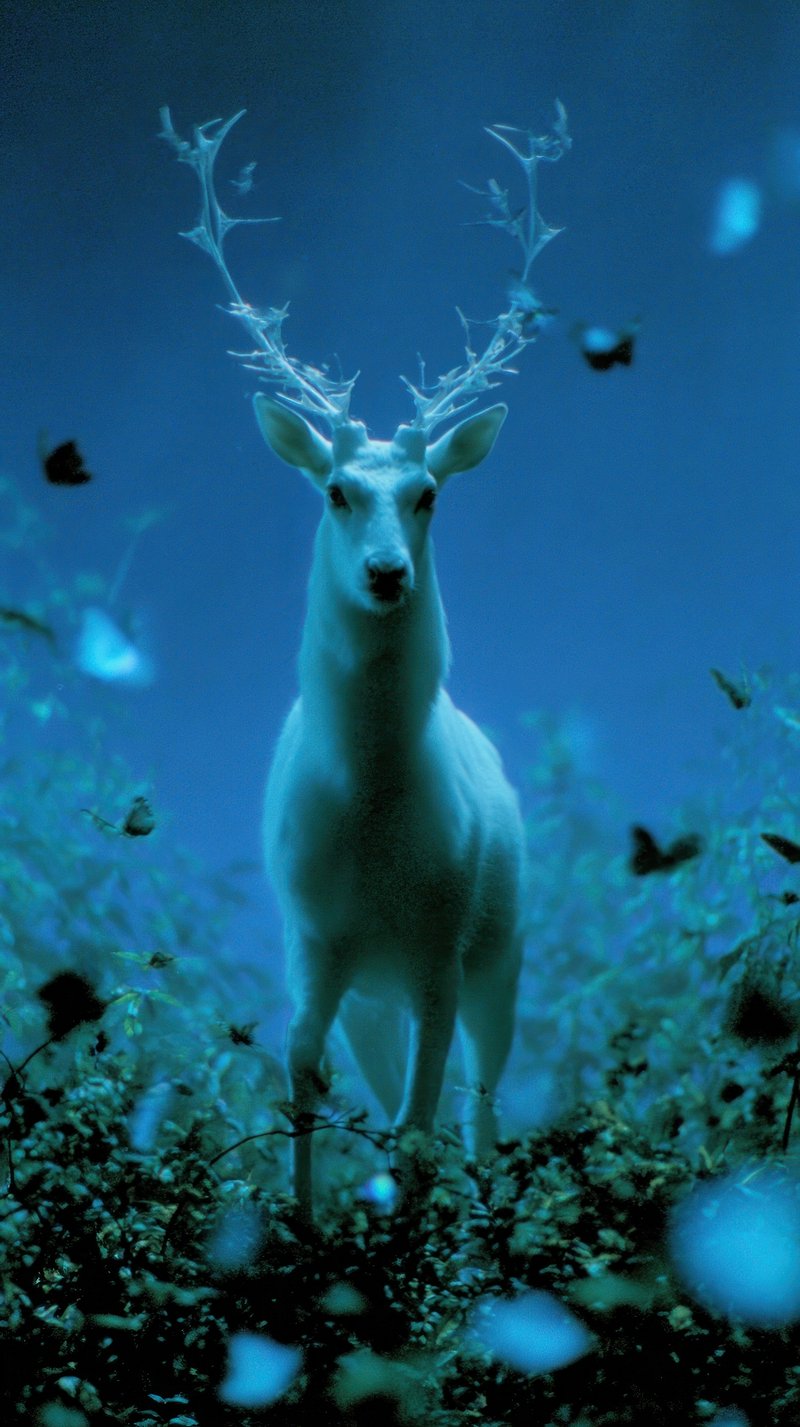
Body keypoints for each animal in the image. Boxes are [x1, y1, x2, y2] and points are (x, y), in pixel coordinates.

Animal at [160, 104, 571, 1218]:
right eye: (336, 489)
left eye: (428, 494)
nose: (387, 572)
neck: (377, 815)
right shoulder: (314, 936)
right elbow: (300, 1076)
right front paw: (304, 1221)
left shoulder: (439, 943)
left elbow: (424, 1121)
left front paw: (411, 1232)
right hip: (373, 998)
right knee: (396, 1091)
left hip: (503, 952)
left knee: (477, 1097)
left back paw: (480, 1212)